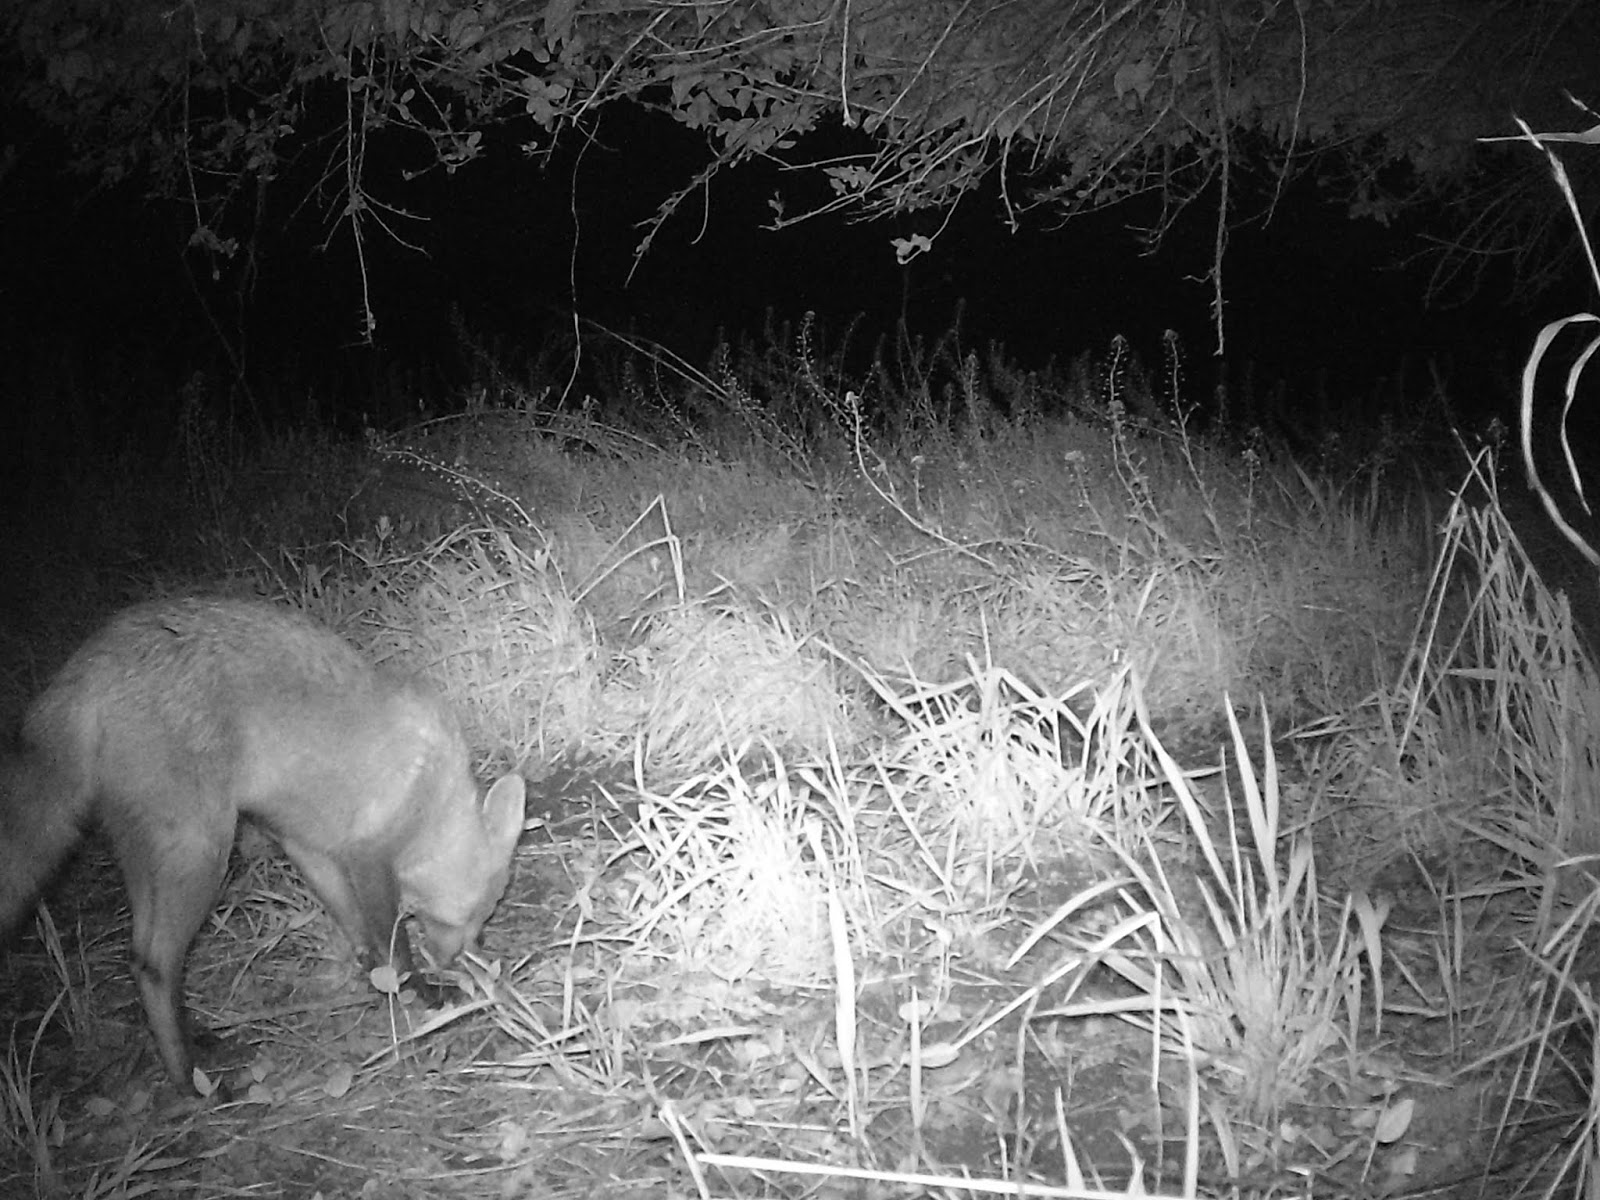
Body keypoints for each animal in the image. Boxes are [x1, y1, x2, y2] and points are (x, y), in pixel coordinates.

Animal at [0, 596, 526, 1094]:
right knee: (154, 964)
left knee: (137, 955)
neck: (433, 795)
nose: (462, 961)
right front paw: (422, 994)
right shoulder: (368, 853)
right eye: (473, 914)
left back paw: (197, 1044)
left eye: (484, 924)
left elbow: (357, 931)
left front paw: (377, 980)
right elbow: (392, 945)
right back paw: (192, 1081)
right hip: (201, 854)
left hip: (150, 857)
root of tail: (90, 664)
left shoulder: (309, 845)